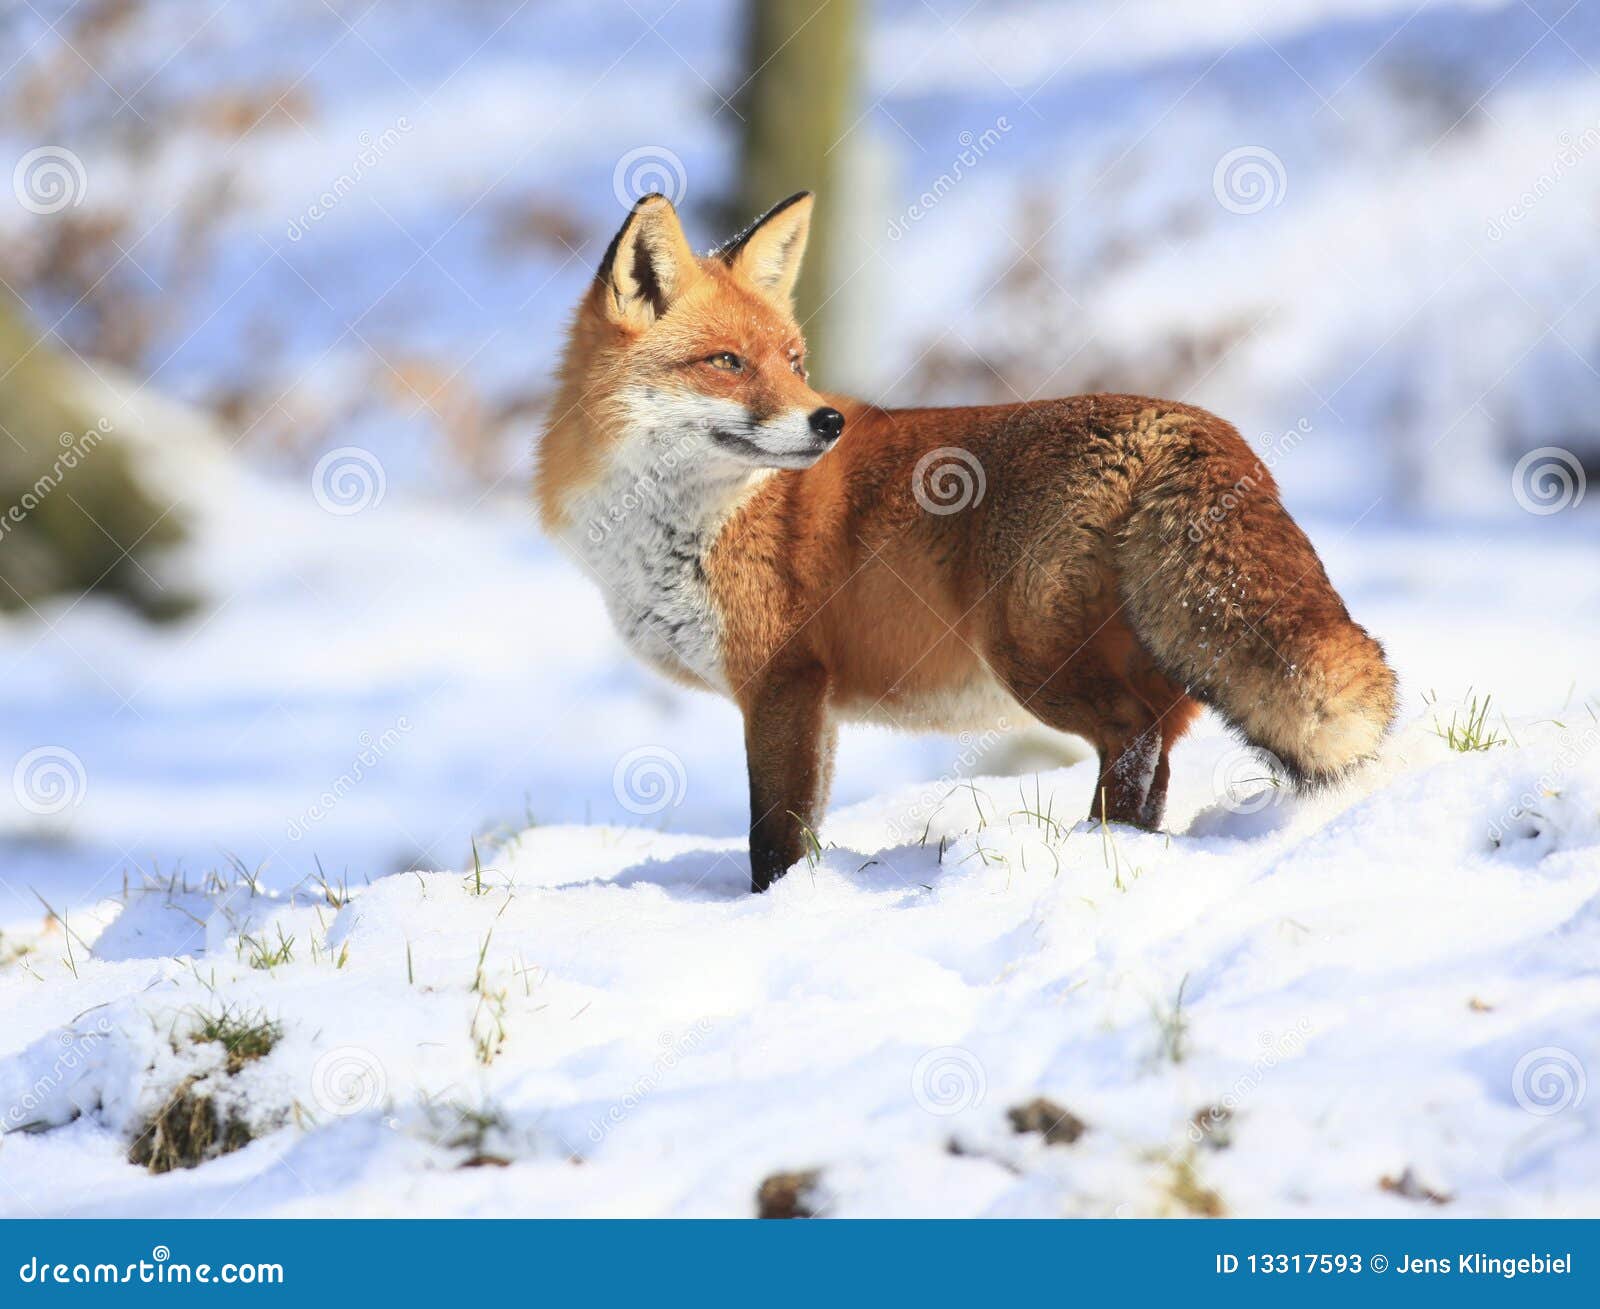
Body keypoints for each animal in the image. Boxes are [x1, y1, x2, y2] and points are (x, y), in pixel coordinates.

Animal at [537, 191, 1398, 892]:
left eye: (794, 362)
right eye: (726, 361)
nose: (827, 421)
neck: (692, 520)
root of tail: (1192, 422)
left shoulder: (781, 682)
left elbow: (772, 840)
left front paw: (771, 911)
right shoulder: (817, 704)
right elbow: (804, 826)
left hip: (1030, 655)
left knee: (1132, 741)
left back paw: (1093, 850)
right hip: (1143, 666)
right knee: (1157, 761)